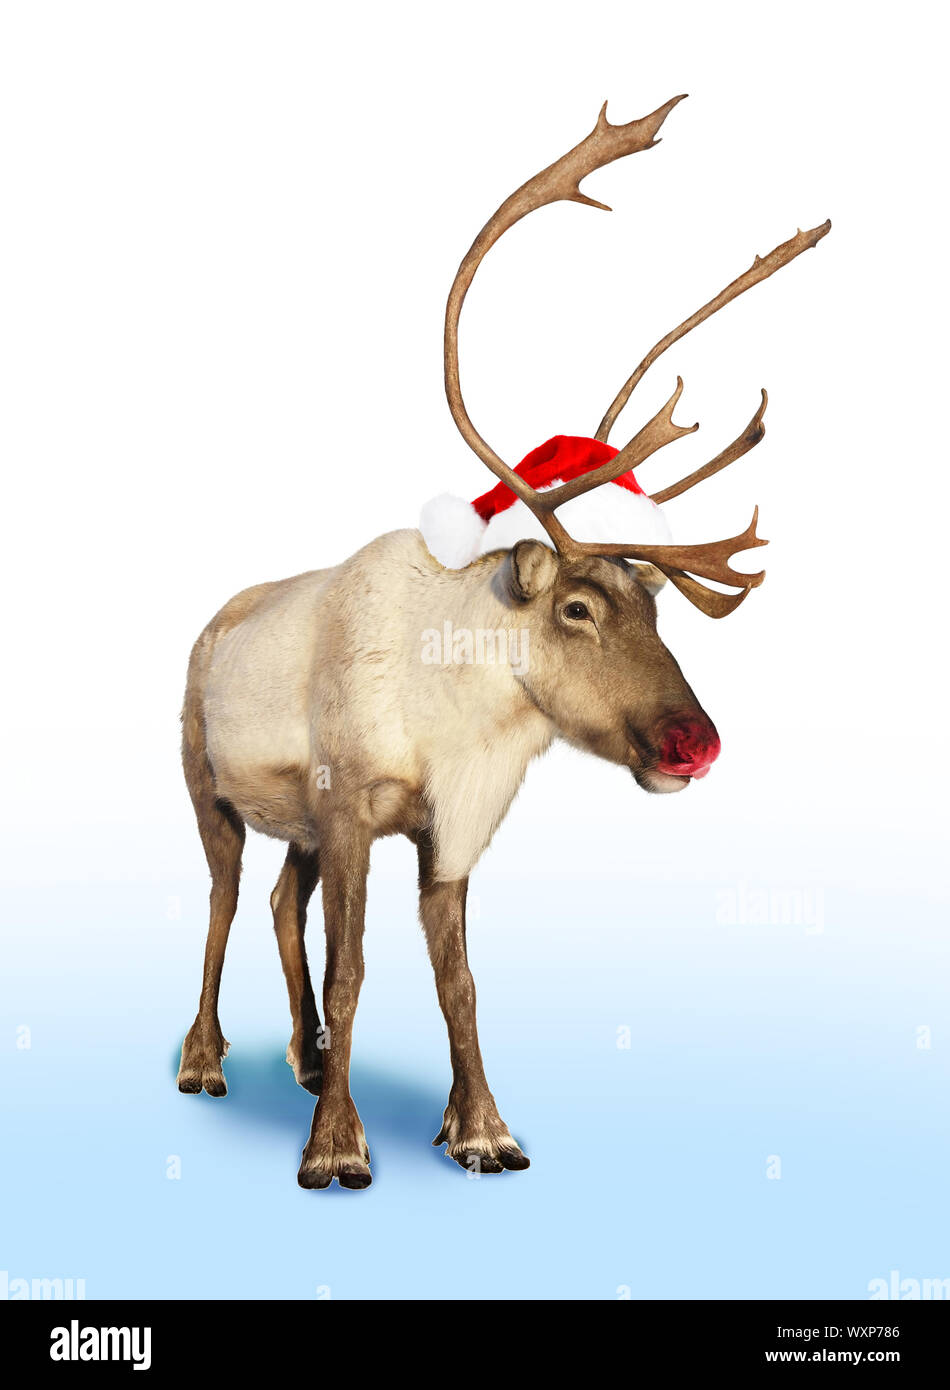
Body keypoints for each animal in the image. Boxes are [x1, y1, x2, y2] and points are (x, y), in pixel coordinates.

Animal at [177, 94, 829, 1189]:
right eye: (576, 609)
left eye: (654, 606)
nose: (695, 743)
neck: (459, 716)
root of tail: (209, 624)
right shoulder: (349, 809)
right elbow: (356, 970)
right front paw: (336, 1149)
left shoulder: (446, 827)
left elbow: (461, 981)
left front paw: (480, 1128)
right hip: (208, 786)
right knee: (226, 900)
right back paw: (204, 1060)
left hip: (294, 821)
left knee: (276, 901)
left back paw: (306, 1059)